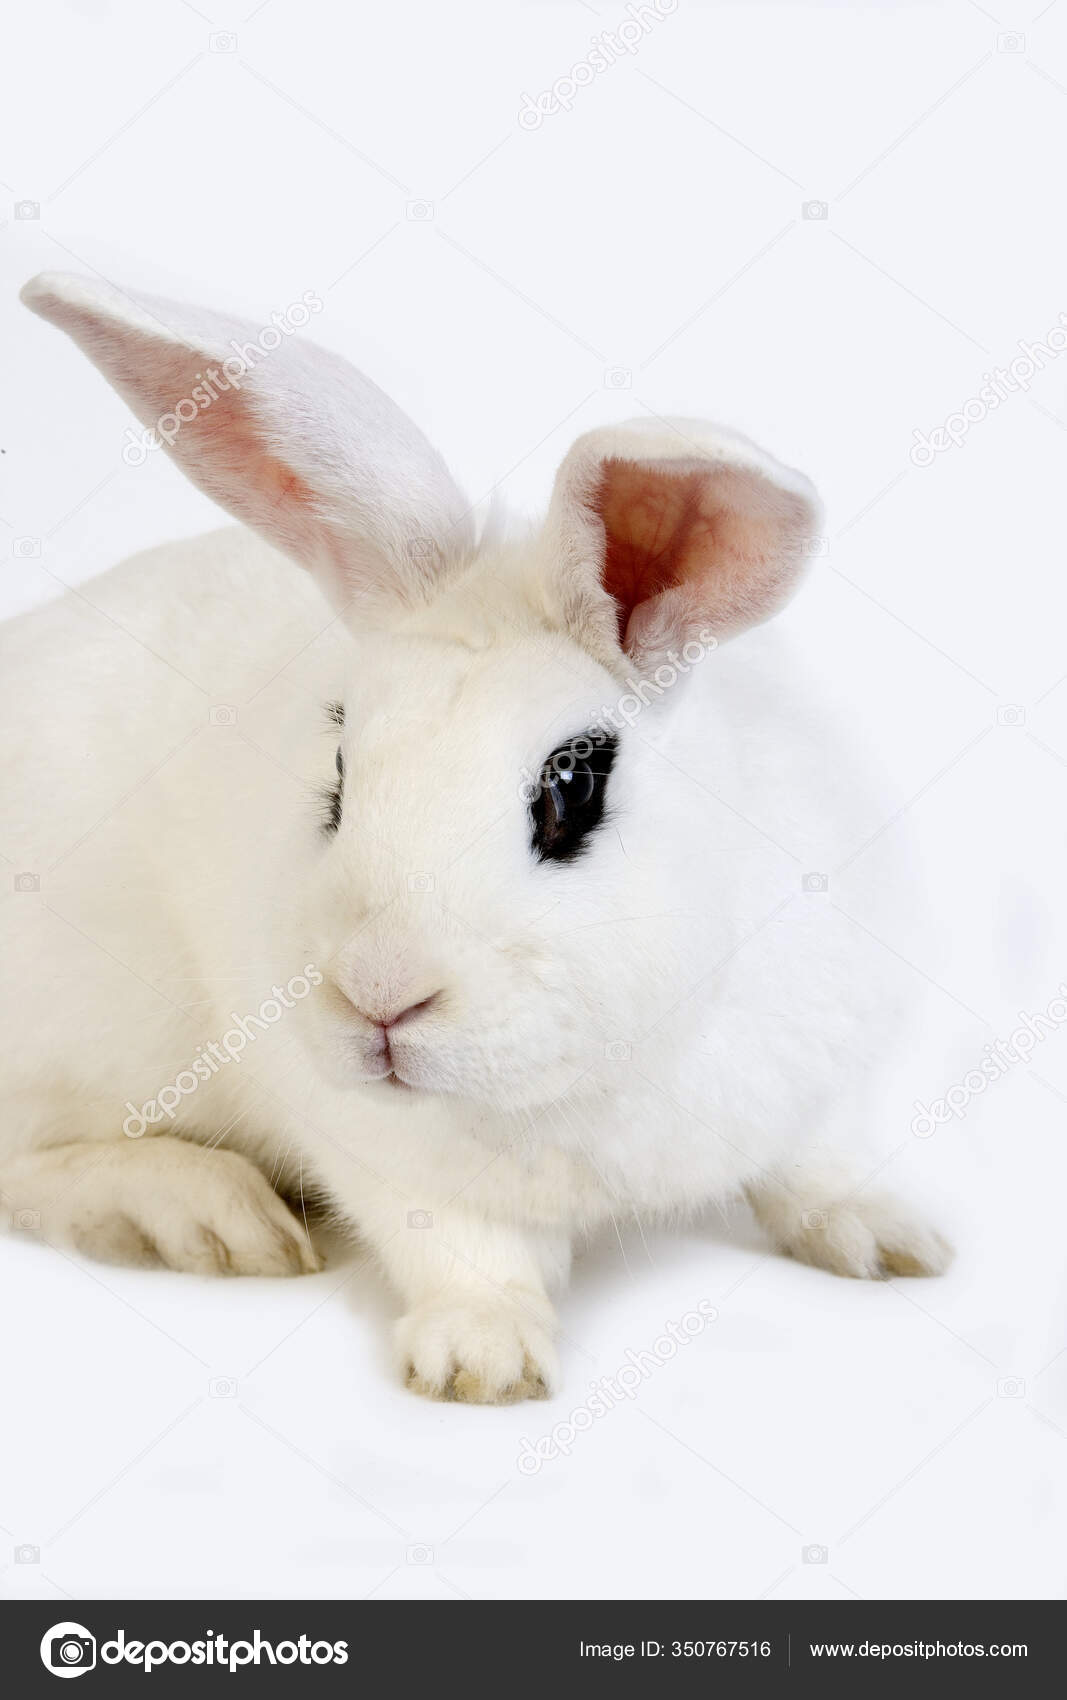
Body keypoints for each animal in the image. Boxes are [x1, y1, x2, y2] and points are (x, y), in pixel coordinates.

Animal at [0, 270, 952, 1404]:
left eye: (572, 787)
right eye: (340, 774)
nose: (379, 995)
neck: (594, 1075)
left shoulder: (820, 1076)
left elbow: (822, 1166)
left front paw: (897, 1243)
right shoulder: (395, 1166)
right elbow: (466, 1256)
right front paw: (484, 1363)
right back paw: (204, 1215)